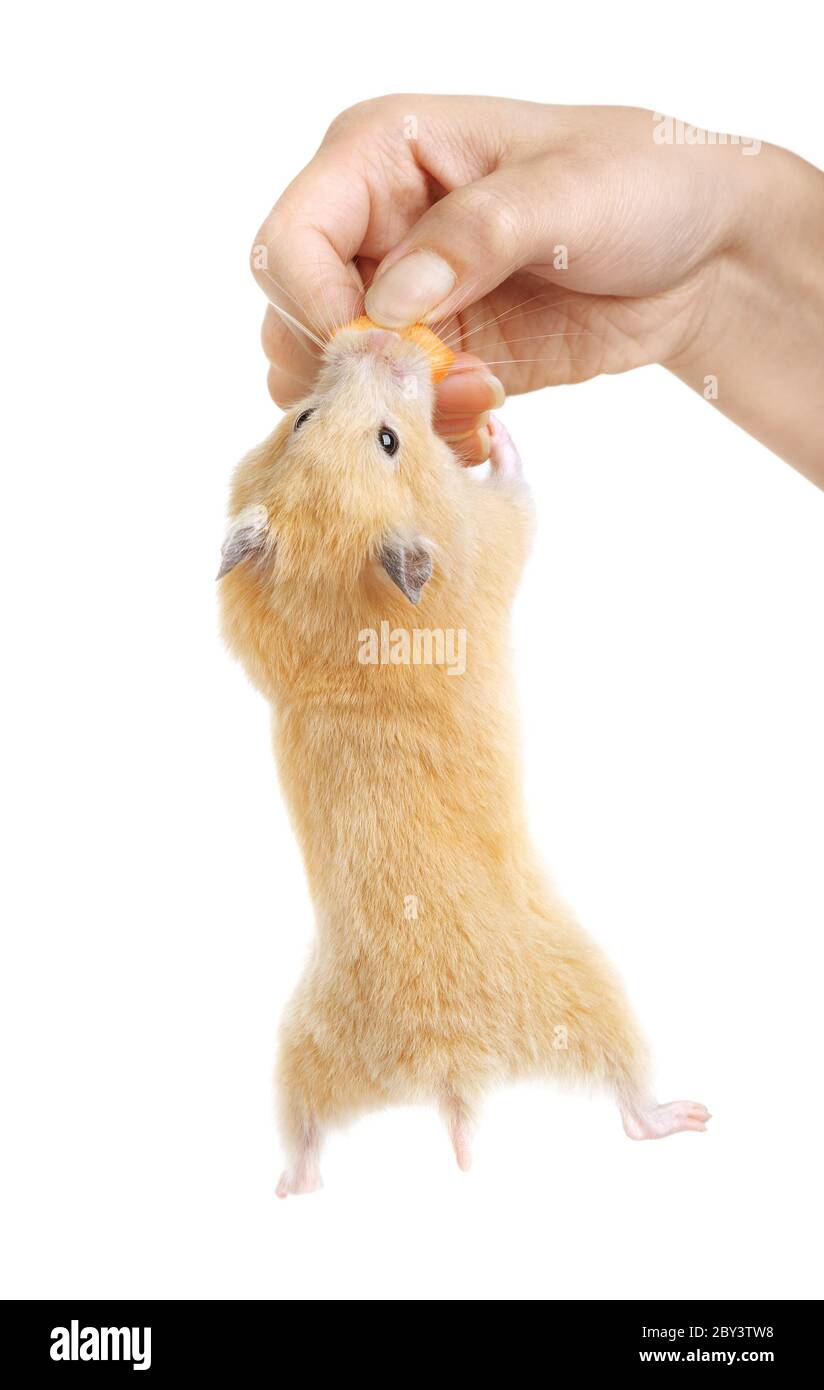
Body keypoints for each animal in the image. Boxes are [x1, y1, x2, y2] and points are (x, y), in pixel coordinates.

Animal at [218, 323, 710, 1196]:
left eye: (303, 415)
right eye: (388, 439)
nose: (379, 334)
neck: (335, 606)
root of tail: (448, 1062)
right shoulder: (493, 535)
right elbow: (515, 491)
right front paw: (497, 431)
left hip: (304, 1050)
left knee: (304, 1131)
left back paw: (287, 1187)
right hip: (593, 992)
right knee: (631, 1100)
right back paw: (689, 1115)